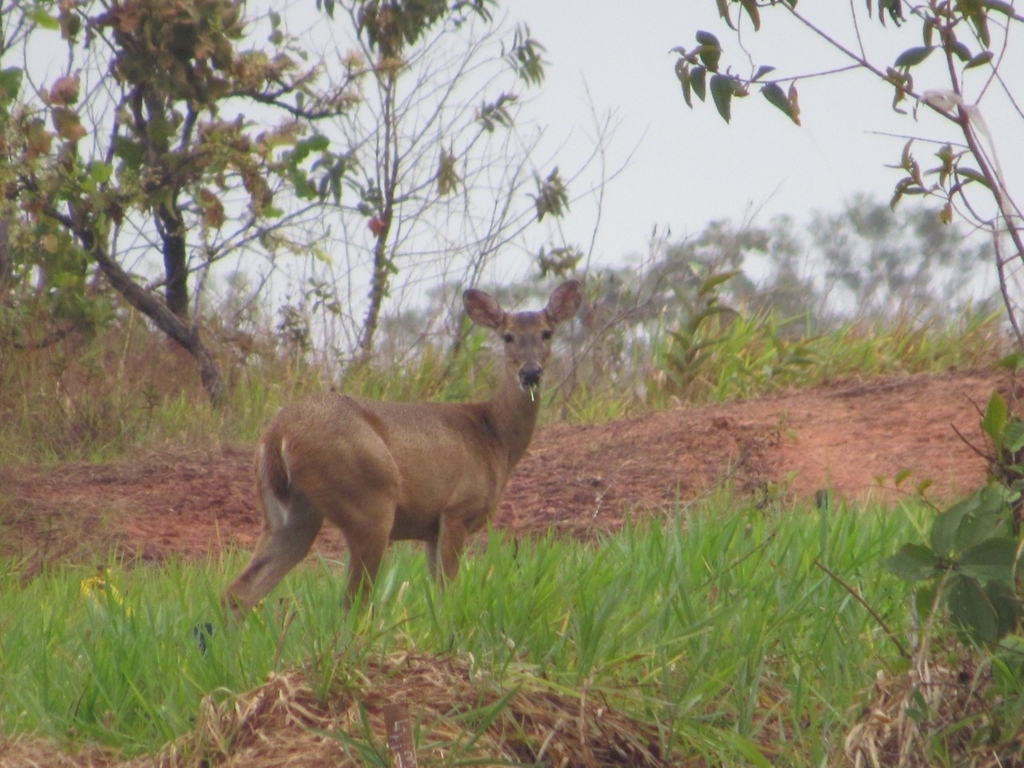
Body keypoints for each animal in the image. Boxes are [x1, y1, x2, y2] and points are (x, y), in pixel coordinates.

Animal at [223, 279, 583, 617]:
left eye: (547, 333)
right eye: (507, 336)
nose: (531, 373)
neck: (494, 436)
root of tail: (276, 435)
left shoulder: (431, 528)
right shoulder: (456, 510)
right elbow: (447, 594)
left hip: (290, 514)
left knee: (240, 591)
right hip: (369, 499)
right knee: (352, 602)